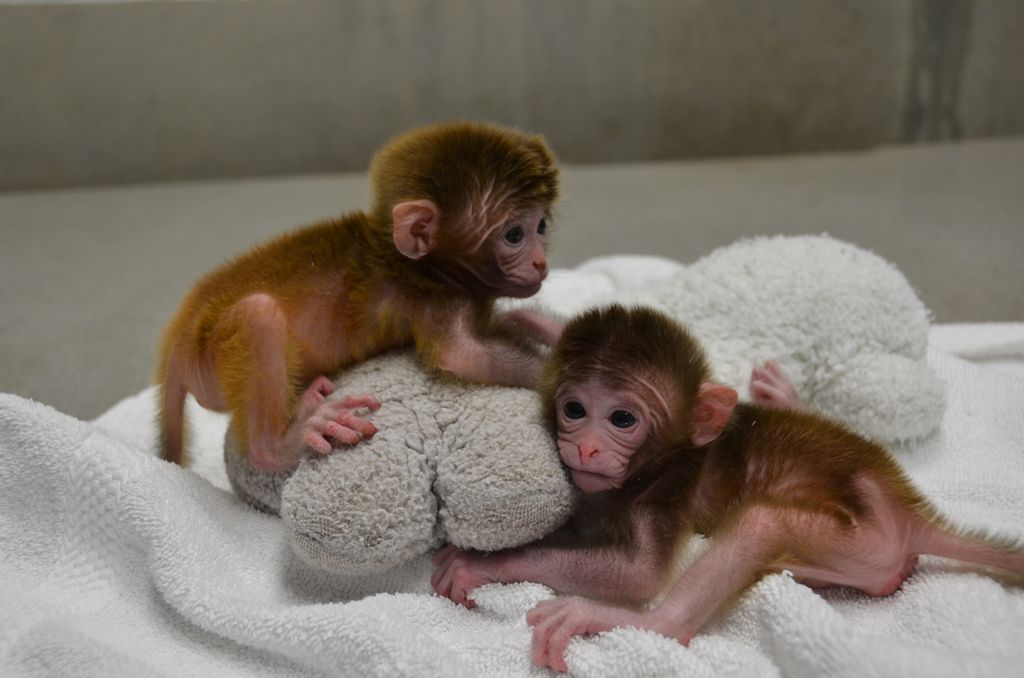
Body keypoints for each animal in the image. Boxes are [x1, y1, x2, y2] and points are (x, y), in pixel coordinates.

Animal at [156, 121, 561, 472]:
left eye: (541, 226)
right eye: (514, 235)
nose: (541, 262)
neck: (413, 263)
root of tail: (179, 335)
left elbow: (505, 325)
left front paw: (542, 325)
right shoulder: (435, 300)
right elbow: (461, 356)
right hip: (208, 360)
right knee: (258, 313)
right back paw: (277, 445)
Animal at [431, 304, 1024, 673]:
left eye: (622, 418)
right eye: (574, 410)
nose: (588, 448)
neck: (665, 459)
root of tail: (907, 506)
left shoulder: (666, 491)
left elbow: (641, 573)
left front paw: (485, 564)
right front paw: (539, 322)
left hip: (866, 537)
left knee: (763, 523)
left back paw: (636, 622)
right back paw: (786, 398)